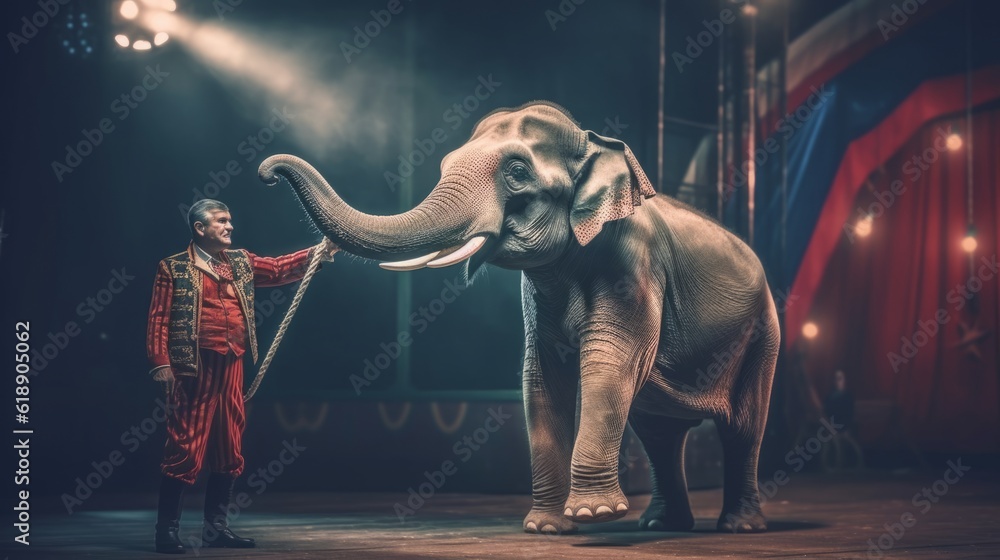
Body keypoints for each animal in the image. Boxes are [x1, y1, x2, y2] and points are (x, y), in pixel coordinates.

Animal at [258, 101, 780, 535]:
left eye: (516, 172)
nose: (267, 171)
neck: (593, 143)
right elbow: (540, 374)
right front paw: (546, 528)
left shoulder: (634, 264)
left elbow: (609, 362)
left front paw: (593, 515)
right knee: (659, 434)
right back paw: (661, 525)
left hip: (762, 331)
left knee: (743, 427)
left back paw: (738, 527)